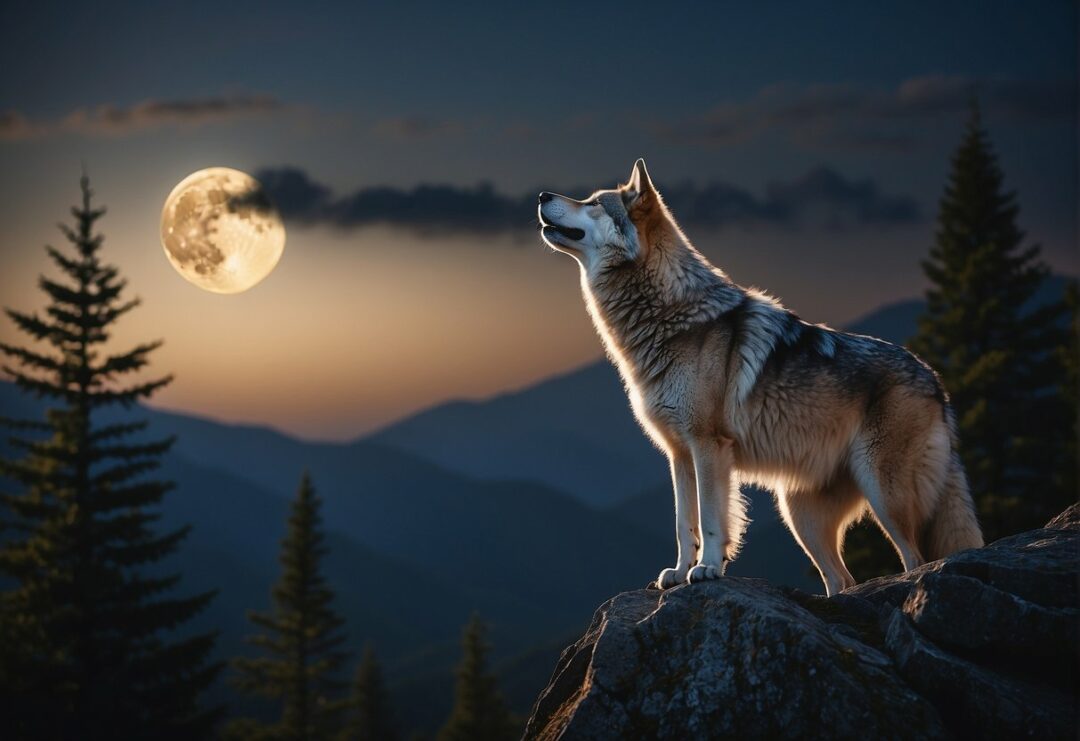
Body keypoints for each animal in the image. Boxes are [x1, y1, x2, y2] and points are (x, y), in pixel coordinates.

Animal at [537, 159, 984, 596]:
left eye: (594, 203)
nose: (542, 194)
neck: (670, 316)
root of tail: (936, 381)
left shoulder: (709, 446)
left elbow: (713, 520)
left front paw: (707, 569)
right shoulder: (678, 453)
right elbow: (684, 523)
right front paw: (679, 572)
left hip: (883, 497)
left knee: (914, 560)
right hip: (800, 515)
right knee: (841, 580)